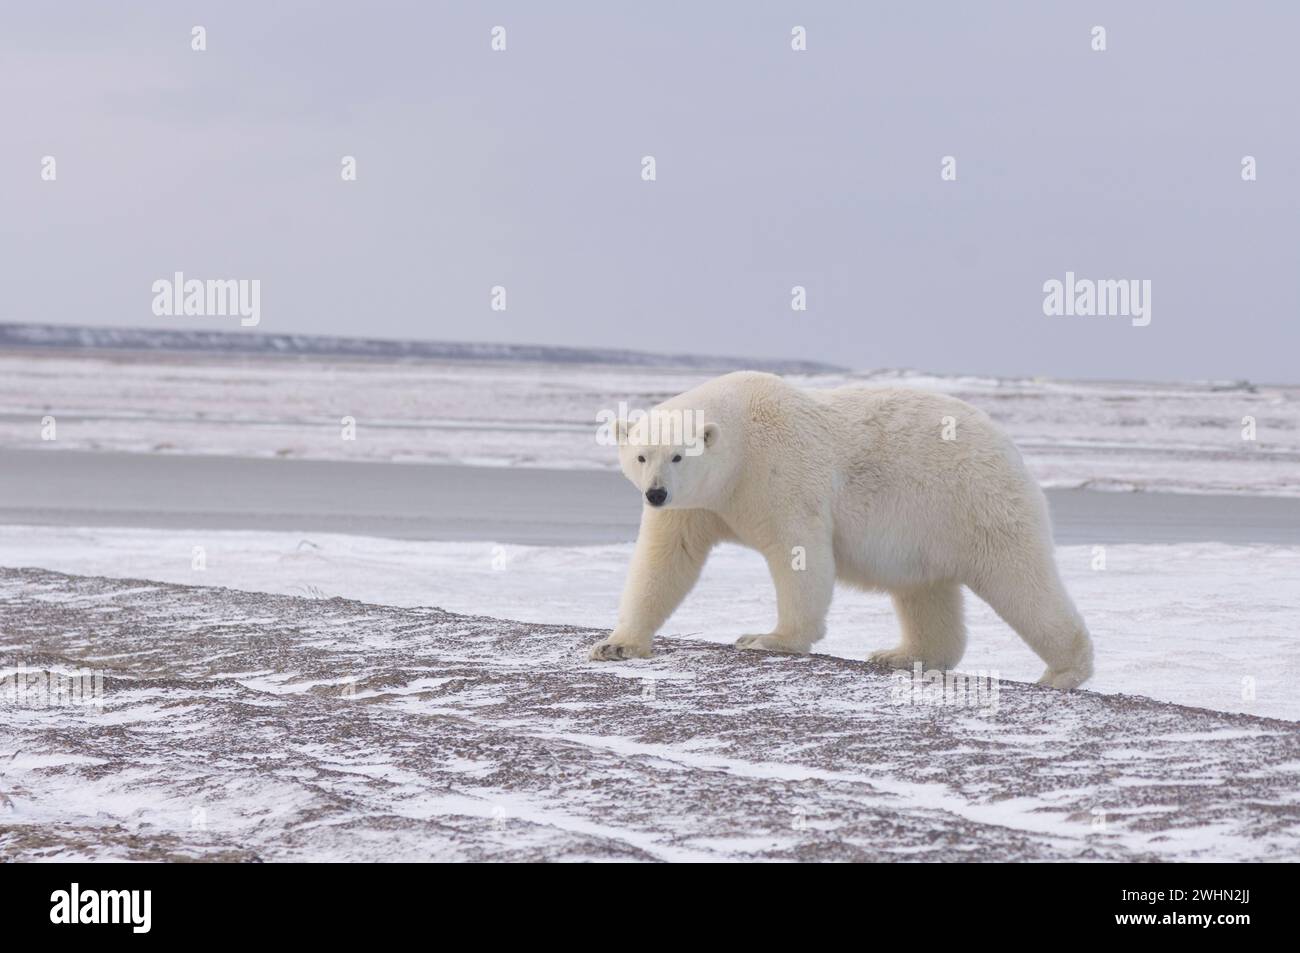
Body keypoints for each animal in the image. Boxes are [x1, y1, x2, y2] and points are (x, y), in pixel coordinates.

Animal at [587, 371, 1094, 689]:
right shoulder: (695, 505)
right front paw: (616, 645)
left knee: (1020, 579)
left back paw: (1064, 671)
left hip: (975, 500)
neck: (741, 446)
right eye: (641, 455)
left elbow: (798, 550)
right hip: (929, 528)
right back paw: (900, 654)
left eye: (678, 455)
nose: (655, 493)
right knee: (925, 592)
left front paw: (769, 638)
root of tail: (1009, 447)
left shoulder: (779, 469)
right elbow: (665, 558)